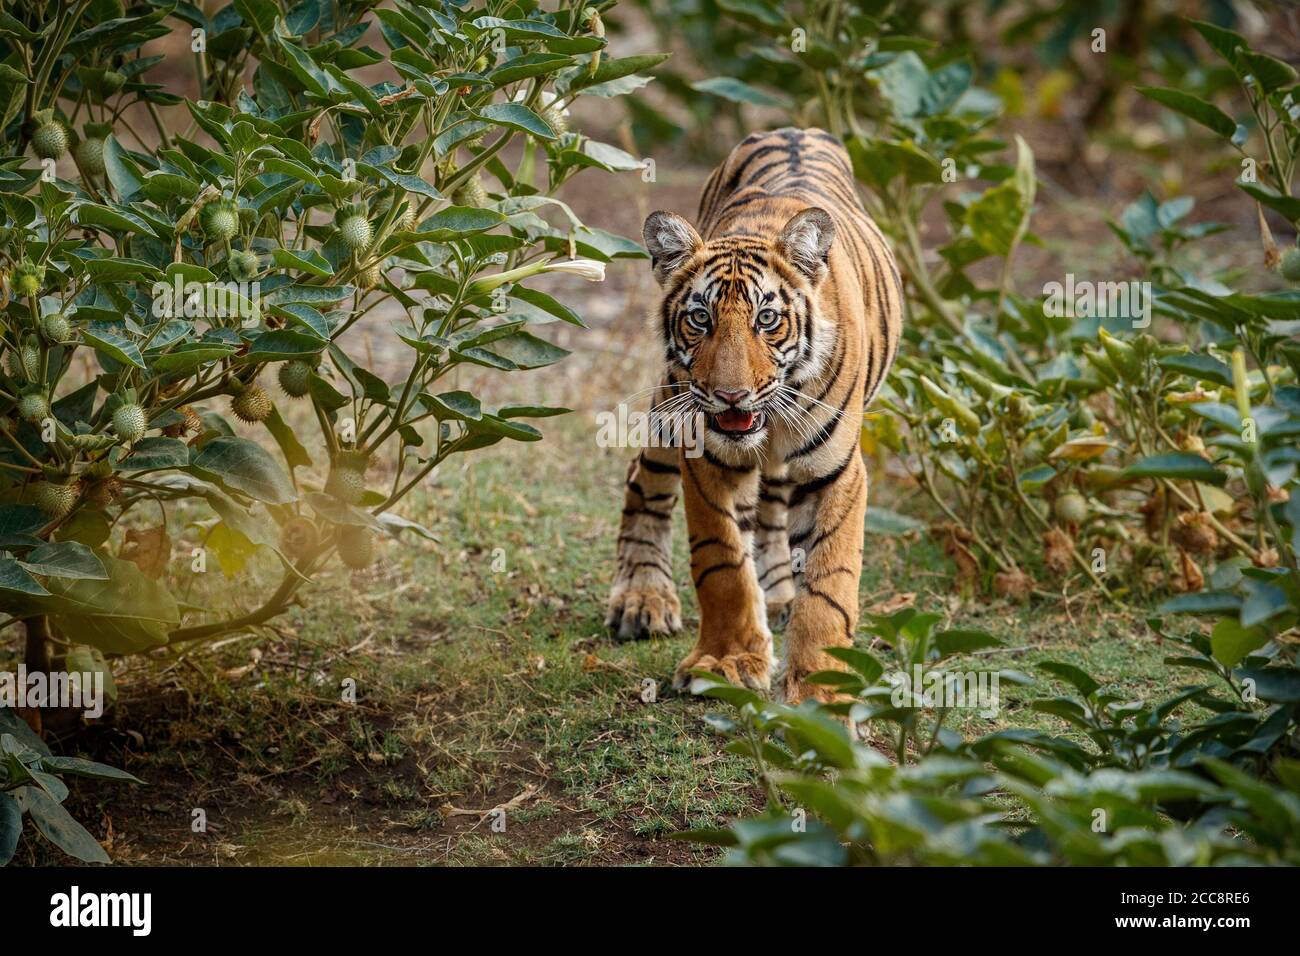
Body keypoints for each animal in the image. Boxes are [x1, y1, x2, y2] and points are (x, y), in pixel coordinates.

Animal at [605, 127, 905, 704]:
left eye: (767, 319)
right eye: (700, 318)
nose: (731, 396)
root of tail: (795, 129)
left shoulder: (838, 472)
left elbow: (830, 581)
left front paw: (822, 688)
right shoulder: (707, 461)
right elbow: (722, 563)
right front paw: (723, 661)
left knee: (772, 510)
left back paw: (781, 596)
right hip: (669, 407)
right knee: (643, 480)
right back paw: (641, 598)